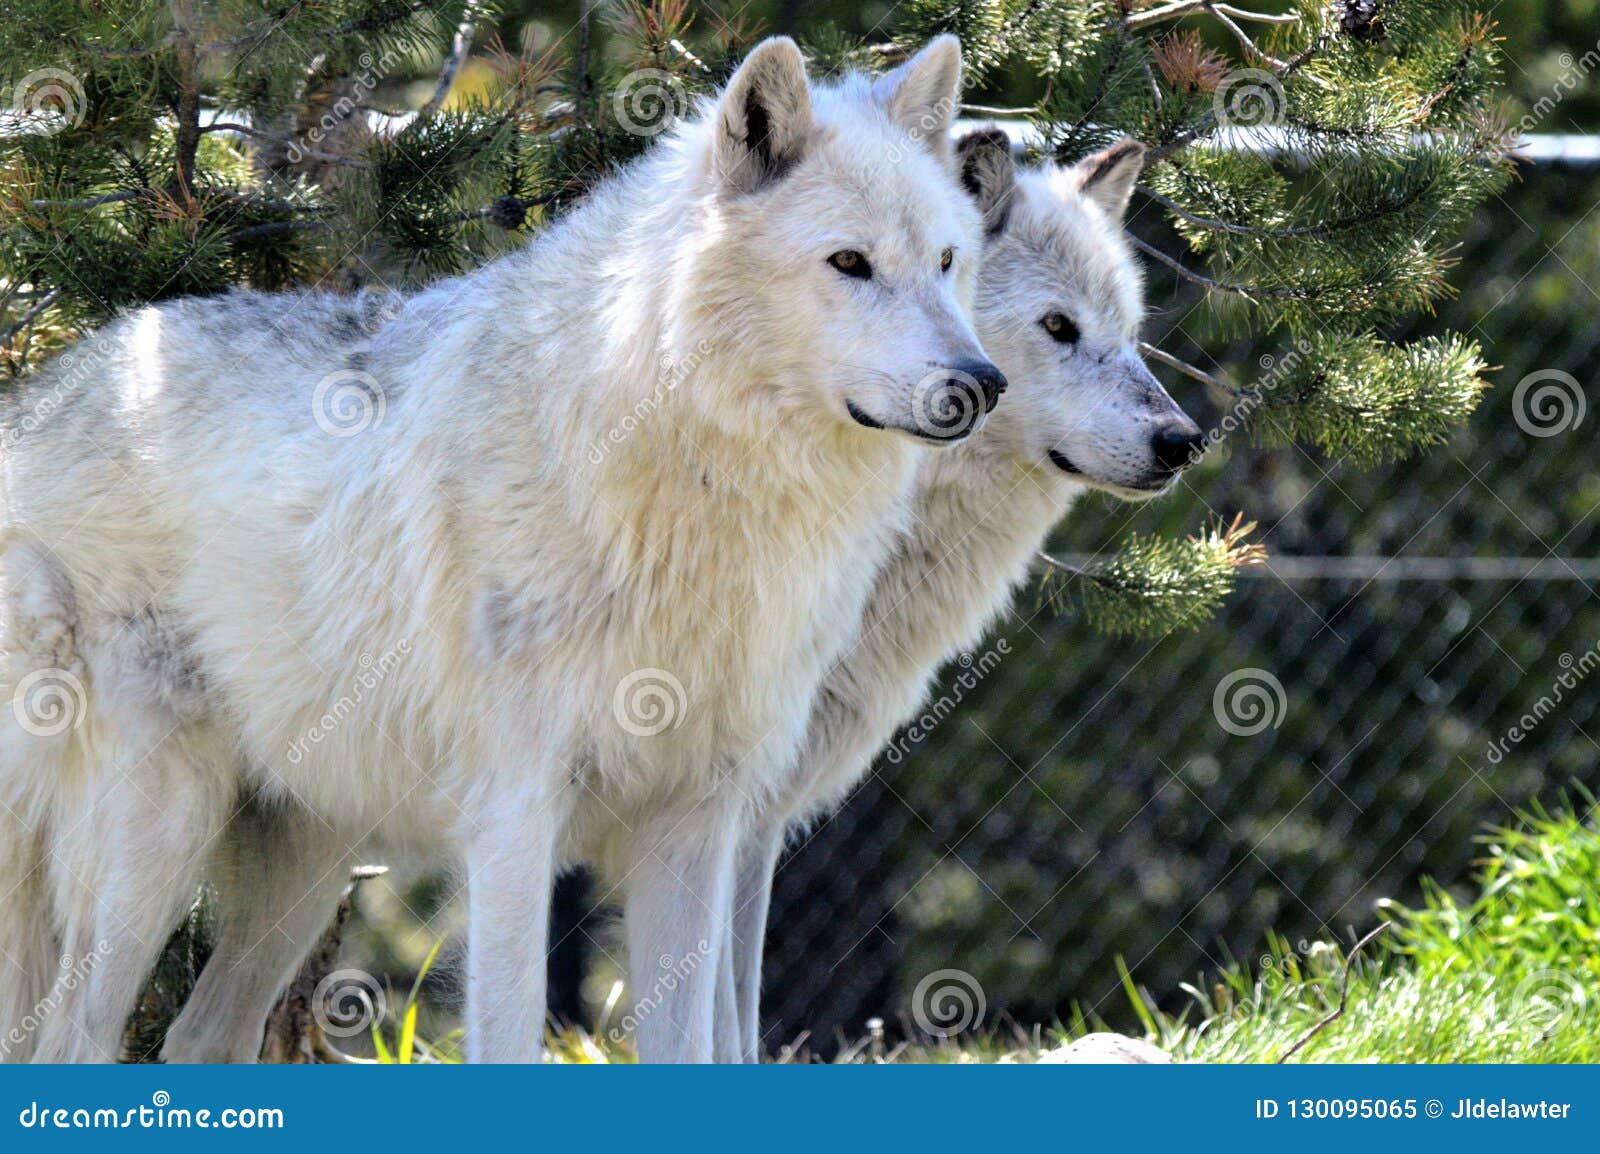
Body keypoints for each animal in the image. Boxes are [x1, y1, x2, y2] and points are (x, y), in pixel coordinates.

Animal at [0, 36, 1003, 1063]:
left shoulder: (697, 824)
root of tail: (44, 392)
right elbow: (512, 1033)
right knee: (68, 1044)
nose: (982, 382)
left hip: (302, 863)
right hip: (155, 837)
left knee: (195, 1037)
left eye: (947, 260)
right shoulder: (515, 817)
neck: (691, 485)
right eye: (849, 263)